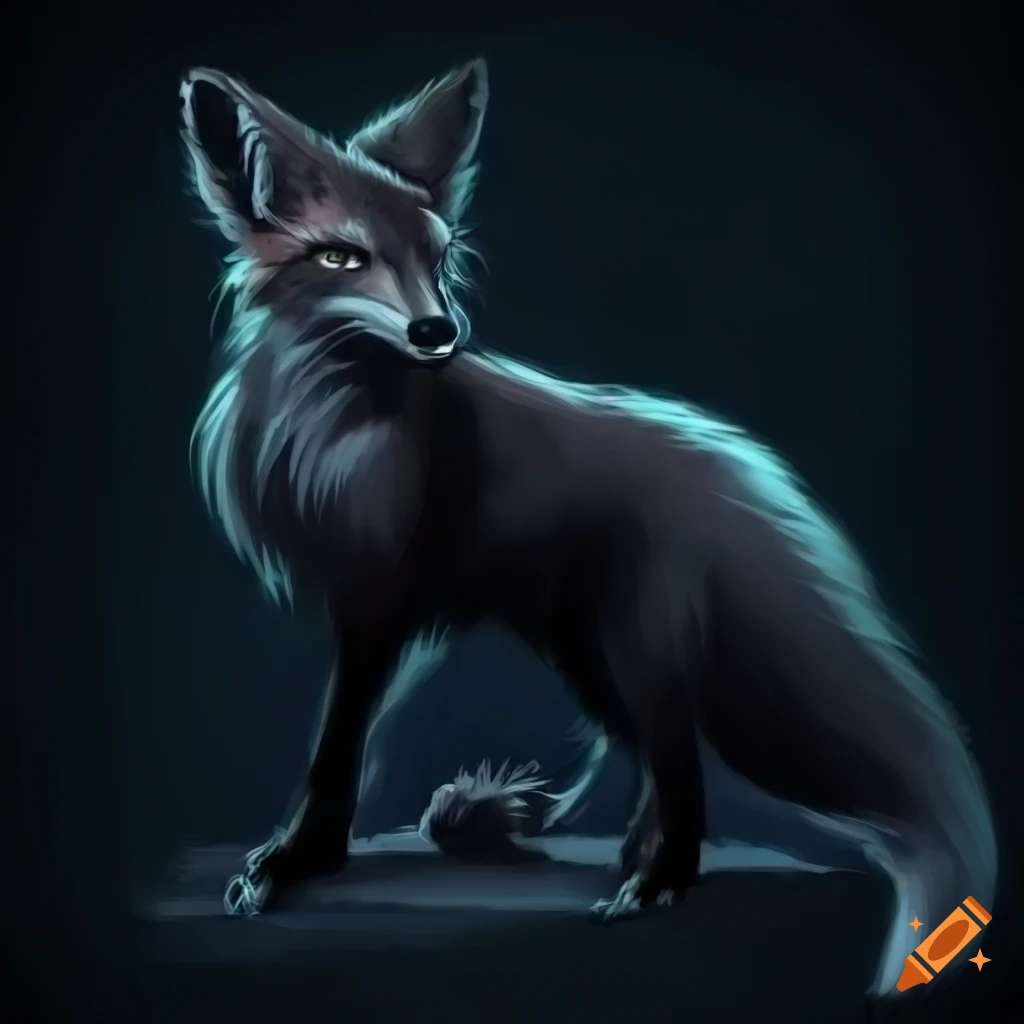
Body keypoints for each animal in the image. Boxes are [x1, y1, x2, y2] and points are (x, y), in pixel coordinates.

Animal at [180, 58, 997, 998]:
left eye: (437, 255)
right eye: (341, 256)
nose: (438, 331)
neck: (323, 429)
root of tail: (748, 462)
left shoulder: (380, 603)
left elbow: (336, 751)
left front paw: (296, 860)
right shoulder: (369, 603)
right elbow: (343, 745)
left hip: (629, 646)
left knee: (676, 761)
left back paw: (656, 881)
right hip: (582, 650)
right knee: (646, 755)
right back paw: (607, 850)